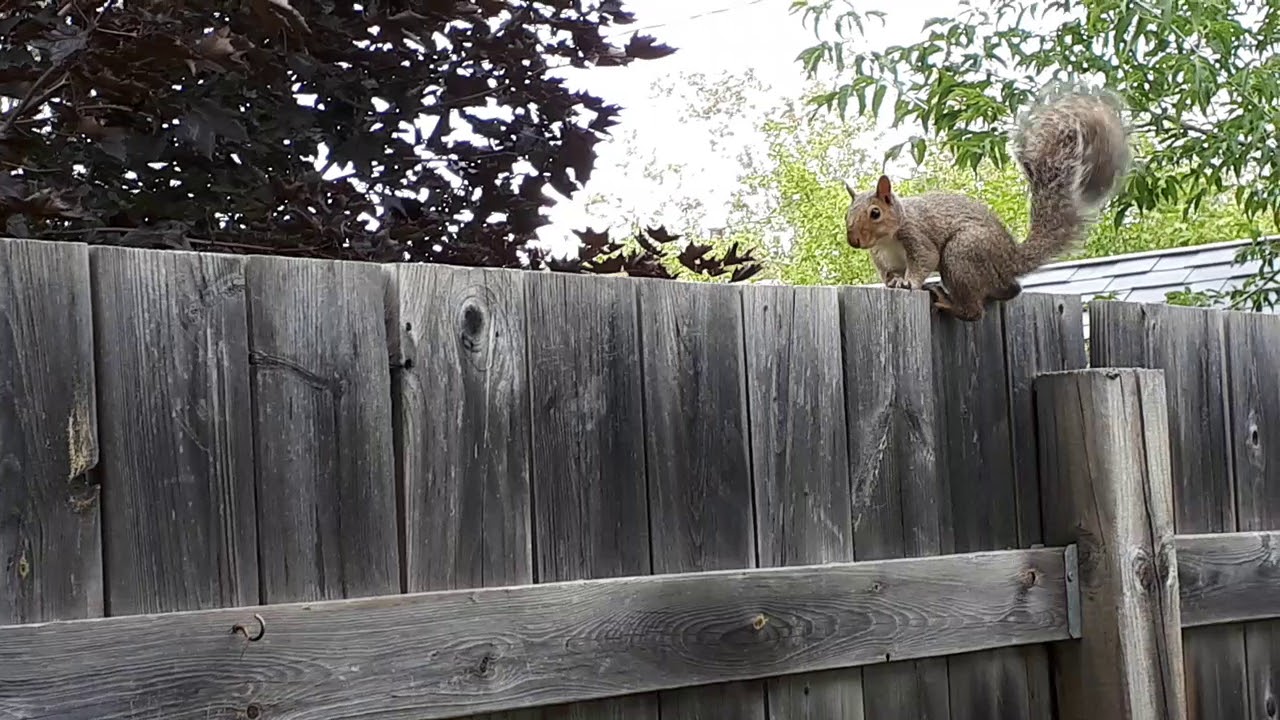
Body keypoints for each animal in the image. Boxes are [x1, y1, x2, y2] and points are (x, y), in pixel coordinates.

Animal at [843, 87, 1131, 321]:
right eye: (848, 214)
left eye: (875, 213)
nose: (853, 241)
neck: (887, 239)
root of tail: (1011, 259)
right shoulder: (884, 258)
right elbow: (889, 273)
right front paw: (893, 282)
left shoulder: (916, 235)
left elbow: (925, 258)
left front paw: (908, 283)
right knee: (1009, 291)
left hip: (963, 253)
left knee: (974, 311)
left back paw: (949, 304)